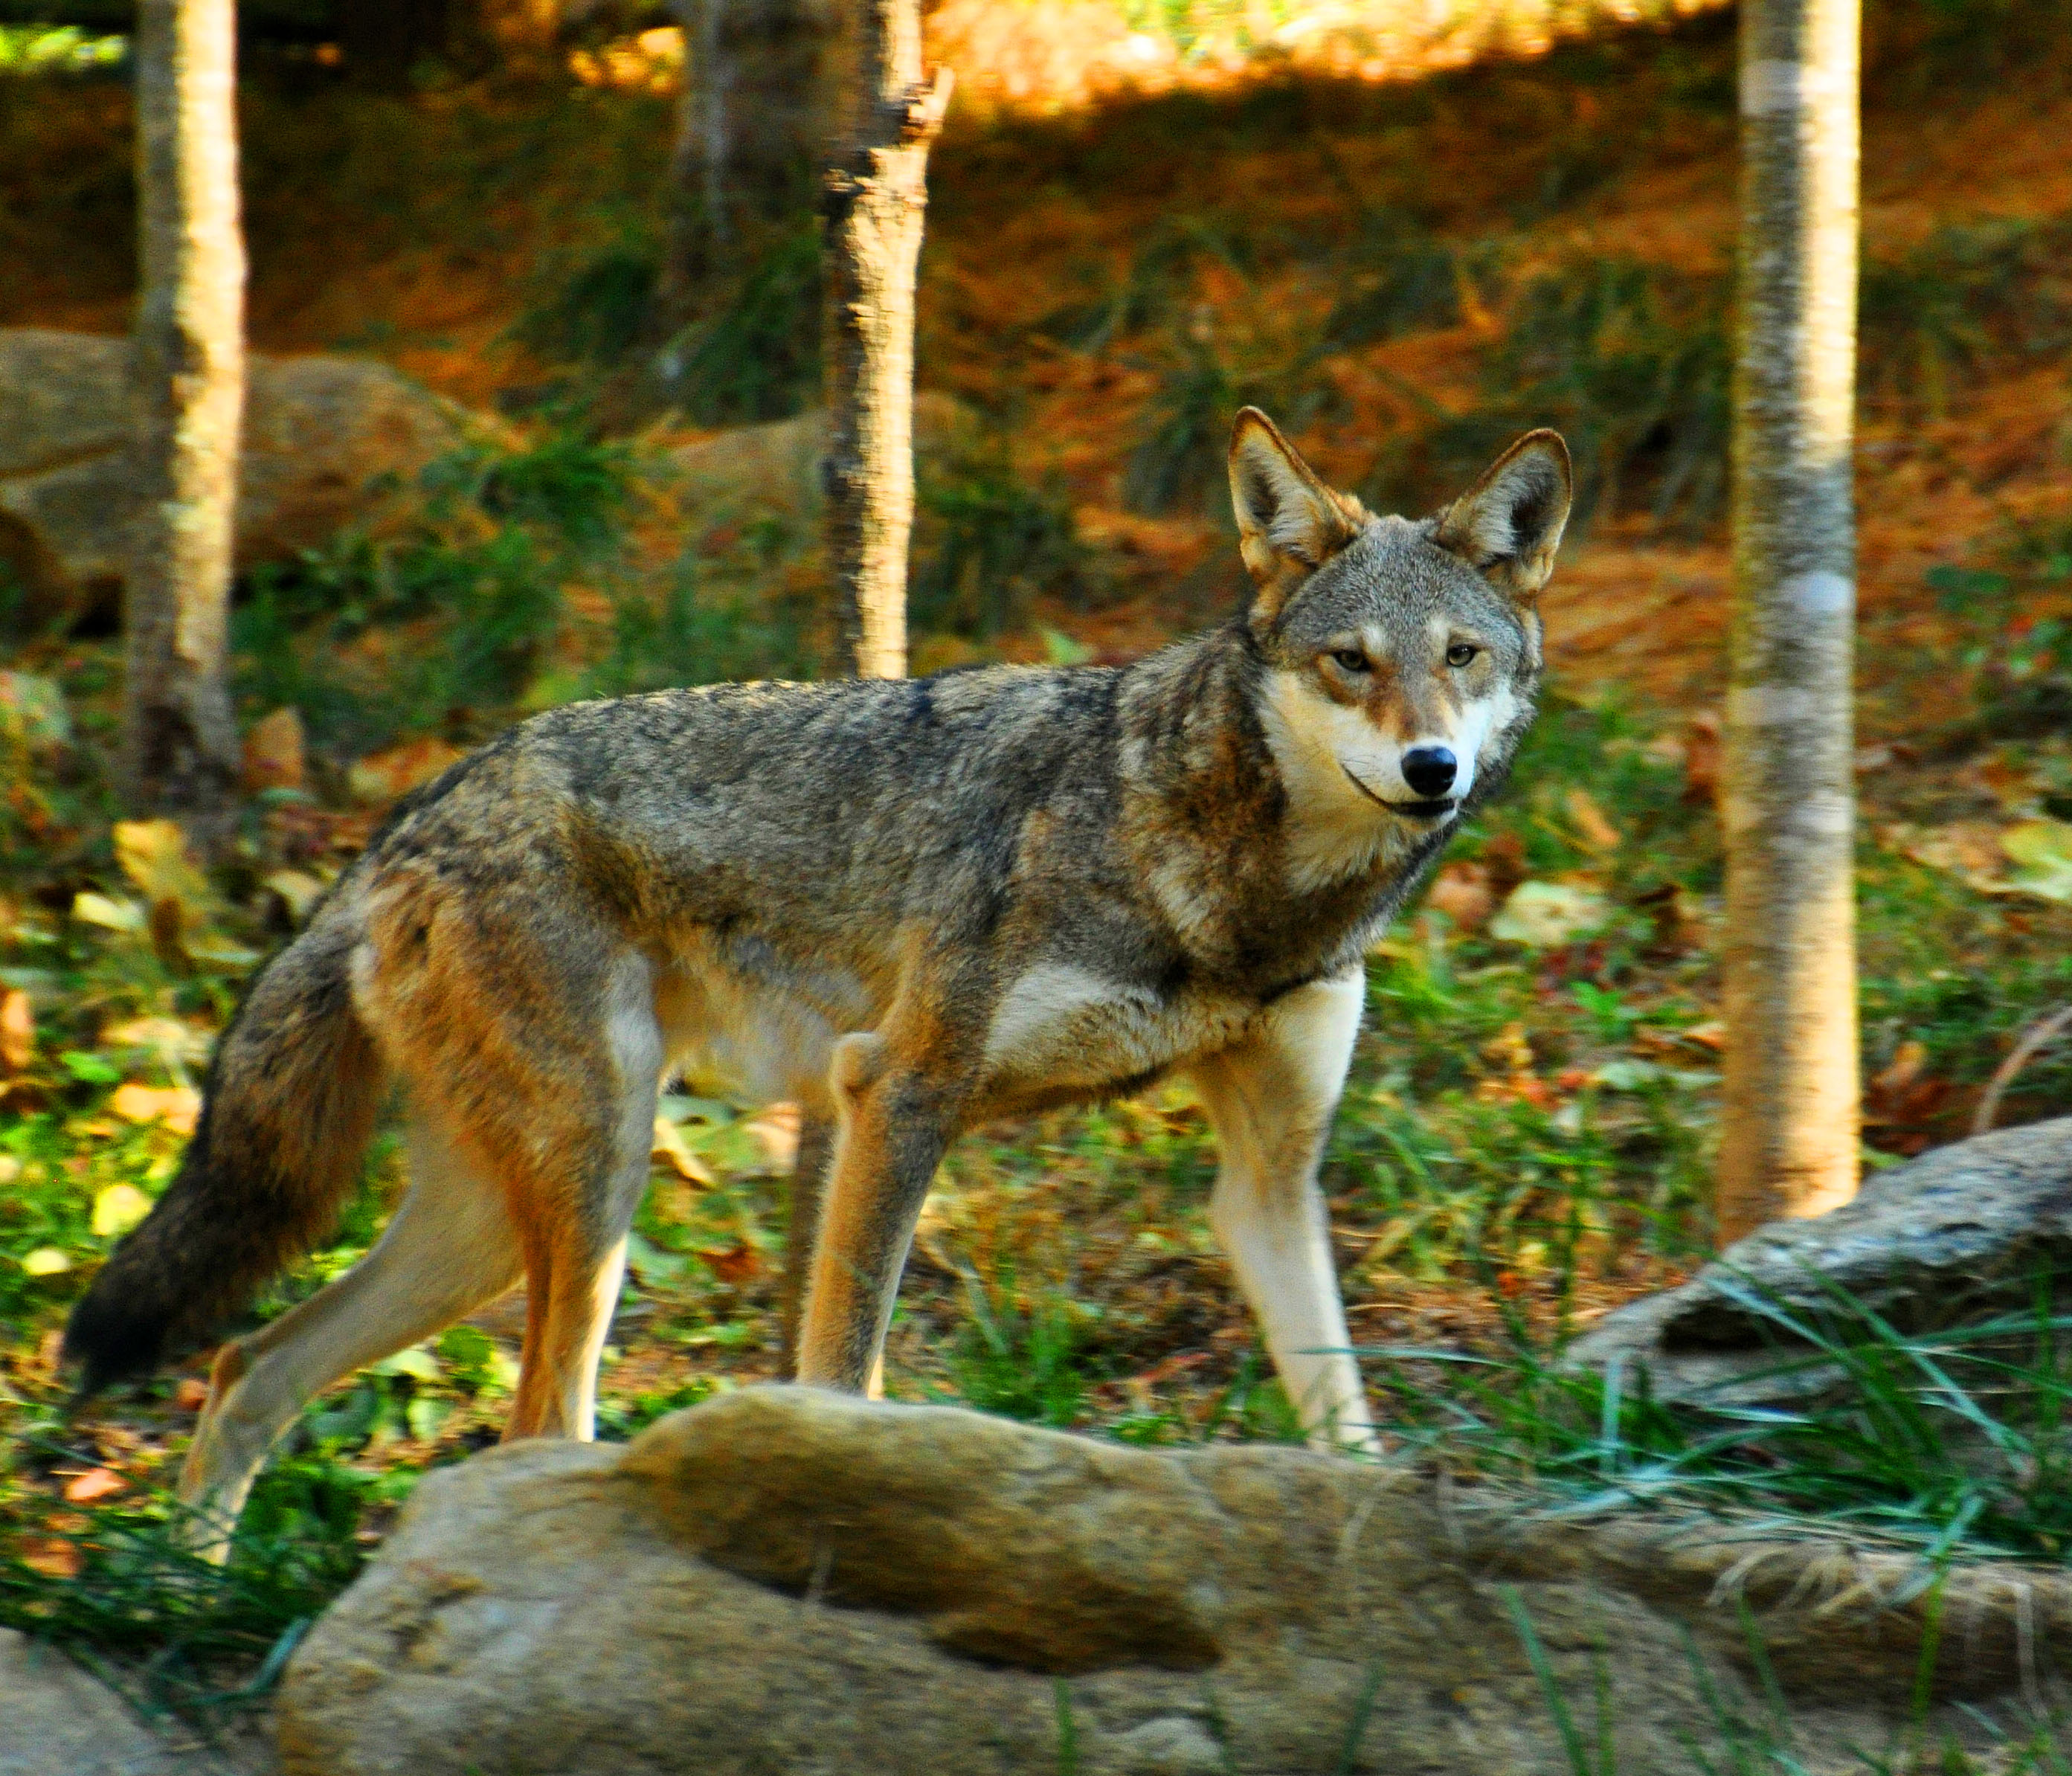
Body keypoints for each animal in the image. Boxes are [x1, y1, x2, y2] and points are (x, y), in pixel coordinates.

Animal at [63, 409, 1569, 1535]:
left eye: (1460, 657)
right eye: (1350, 663)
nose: (1431, 770)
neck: (1233, 888)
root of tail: (408, 817)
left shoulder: (1267, 1180)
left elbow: (1342, 1412)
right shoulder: (897, 1091)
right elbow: (844, 1364)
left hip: (491, 1227)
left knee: (248, 1364)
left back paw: (197, 1588)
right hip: (593, 1194)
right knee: (522, 1419)